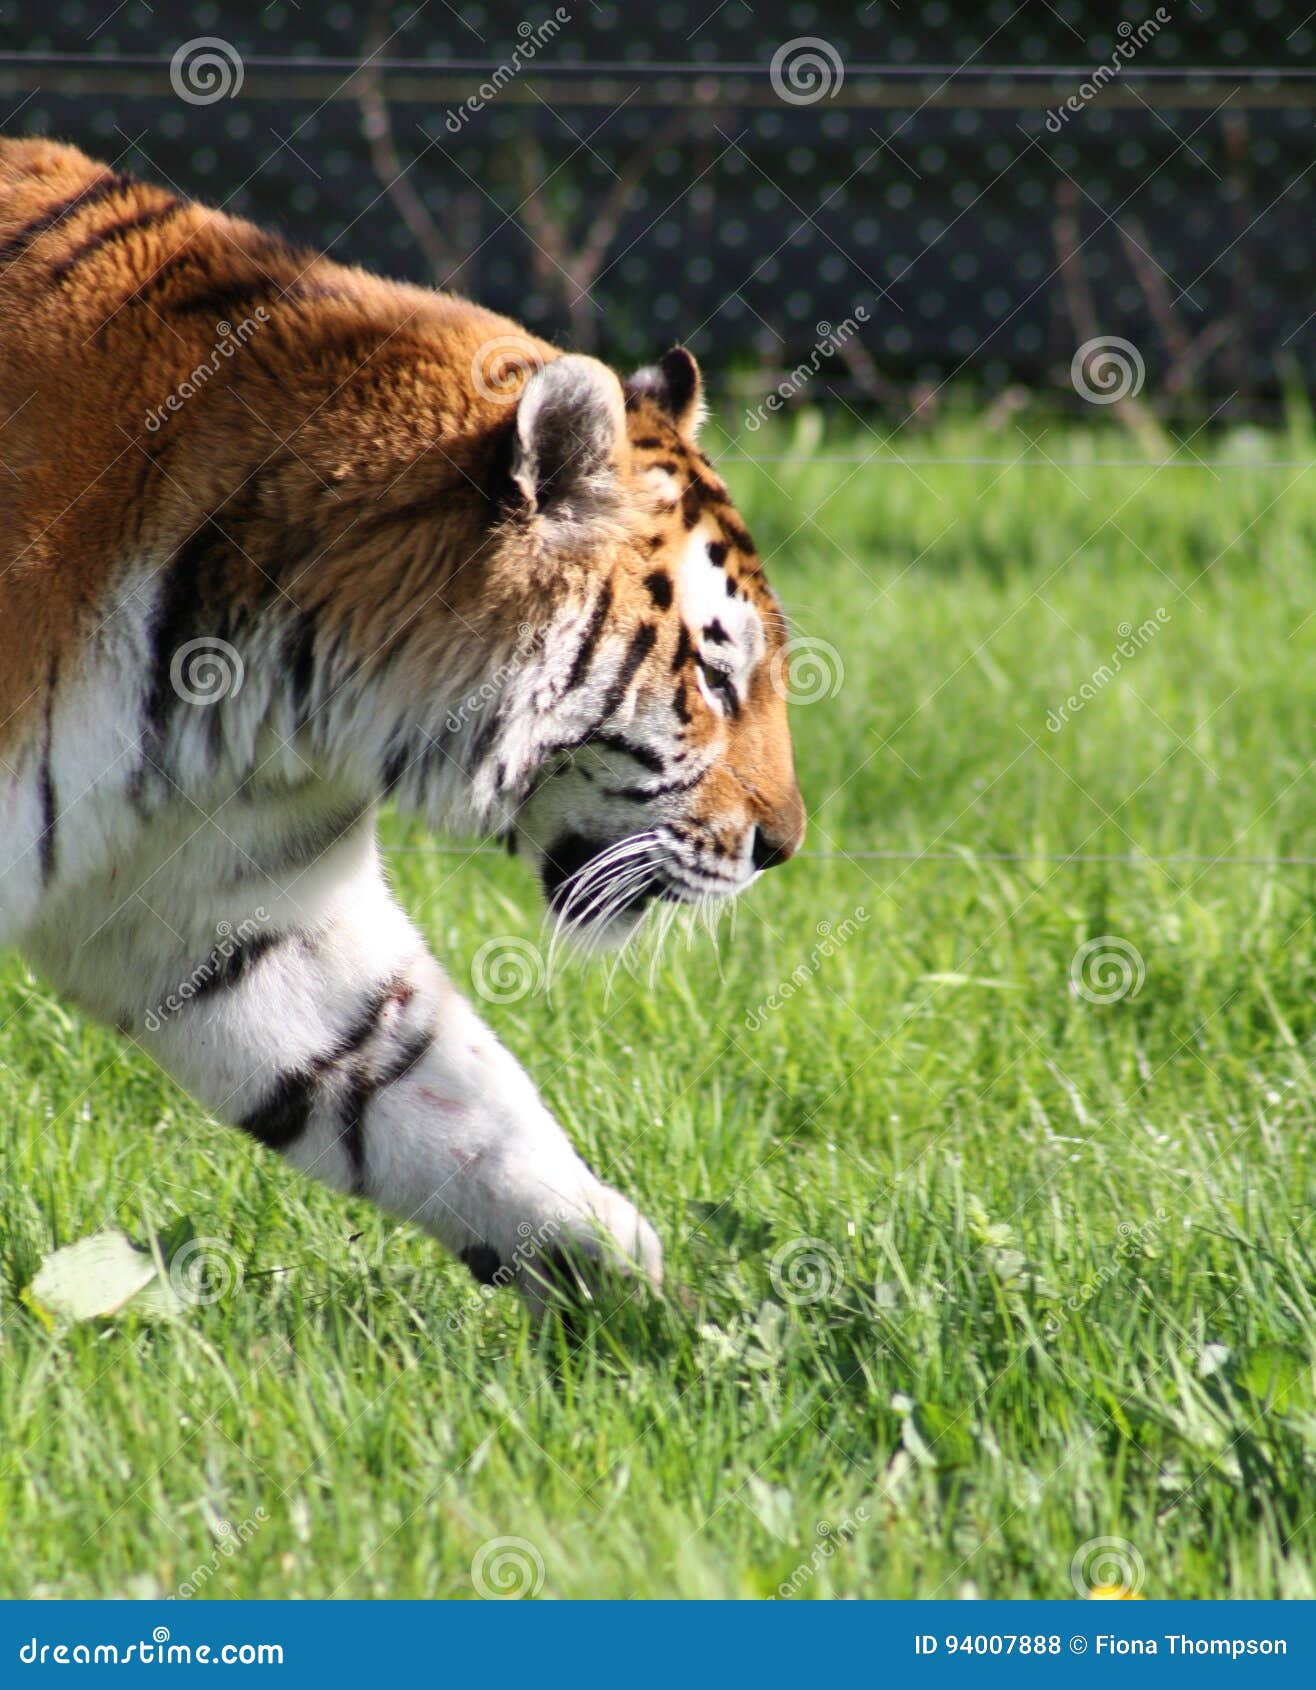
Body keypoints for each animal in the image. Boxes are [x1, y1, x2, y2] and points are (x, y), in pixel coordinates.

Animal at [0, 138, 804, 1310]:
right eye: (713, 672)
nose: (782, 846)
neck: (268, 685)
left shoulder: (224, 908)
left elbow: (435, 1094)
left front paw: (643, 1304)